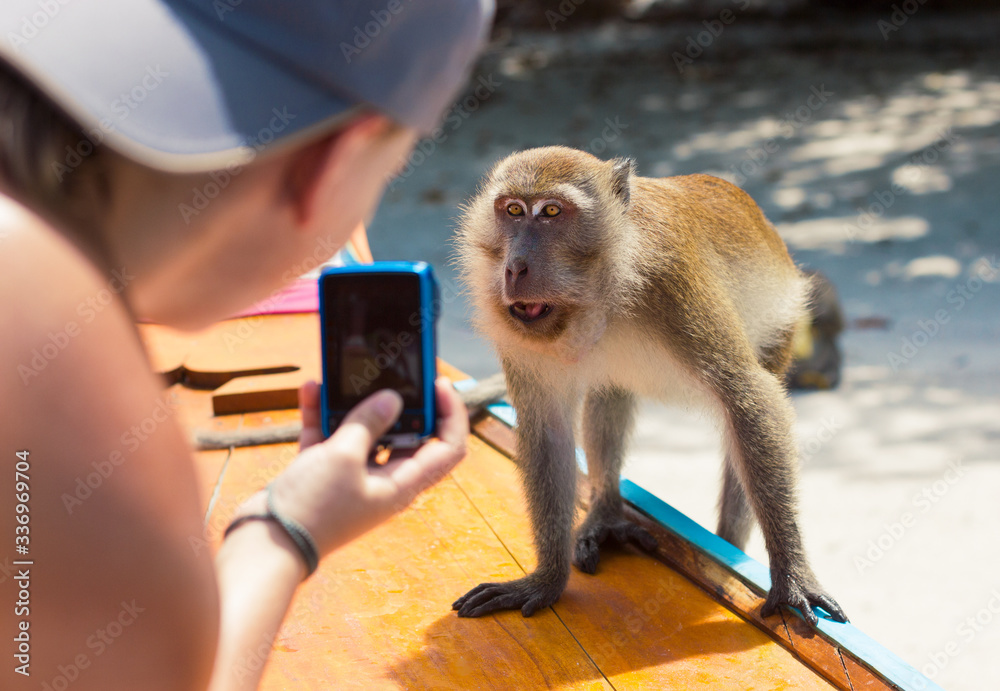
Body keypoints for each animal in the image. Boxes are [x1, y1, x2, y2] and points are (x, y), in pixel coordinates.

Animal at [451, 146, 847, 626]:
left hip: (784, 324)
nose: (515, 267)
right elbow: (548, 432)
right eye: (511, 211)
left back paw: (728, 542)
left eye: (550, 212)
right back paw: (606, 511)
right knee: (608, 396)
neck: (600, 292)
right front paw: (547, 580)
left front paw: (791, 574)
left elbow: (747, 398)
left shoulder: (671, 282)